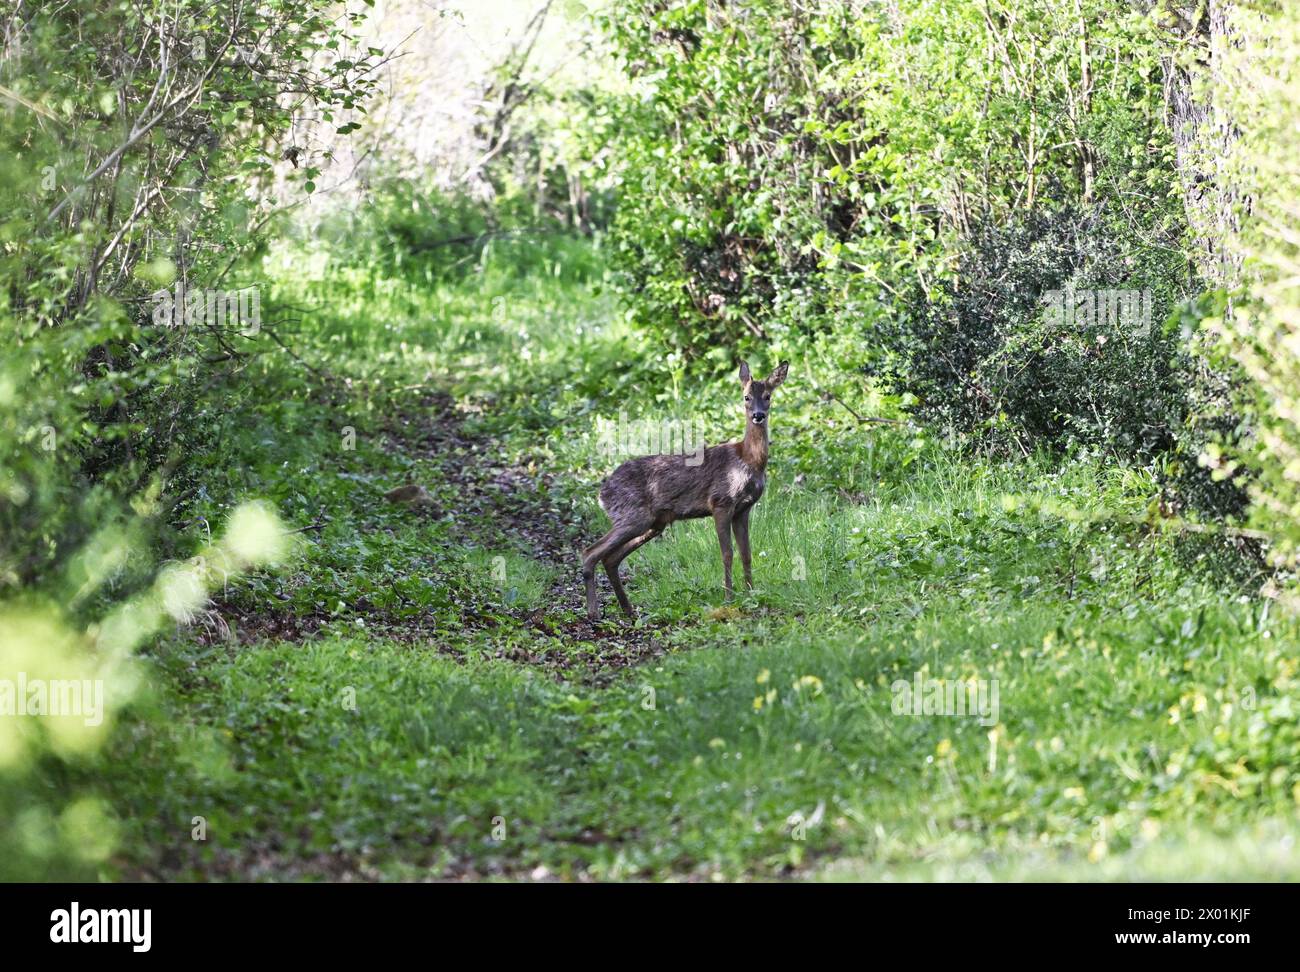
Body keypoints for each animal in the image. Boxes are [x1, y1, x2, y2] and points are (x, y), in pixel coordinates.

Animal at [582, 360, 789, 620]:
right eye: (746, 397)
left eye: (768, 396)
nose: (758, 415)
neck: (748, 460)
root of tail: (602, 494)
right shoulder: (721, 502)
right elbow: (727, 553)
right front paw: (729, 599)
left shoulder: (743, 509)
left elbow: (747, 553)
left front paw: (752, 594)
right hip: (633, 516)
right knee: (590, 552)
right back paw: (594, 612)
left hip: (653, 523)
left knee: (610, 558)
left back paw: (628, 609)